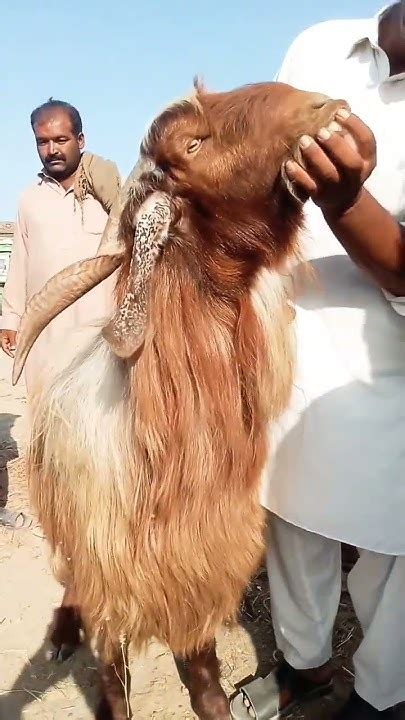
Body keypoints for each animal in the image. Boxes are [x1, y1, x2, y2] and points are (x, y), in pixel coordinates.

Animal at [13, 80, 348, 720]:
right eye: (192, 144)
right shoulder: (111, 575)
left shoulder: (198, 563)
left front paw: (217, 703)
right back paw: (62, 633)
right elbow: (112, 673)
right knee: (67, 578)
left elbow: (201, 658)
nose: (326, 106)